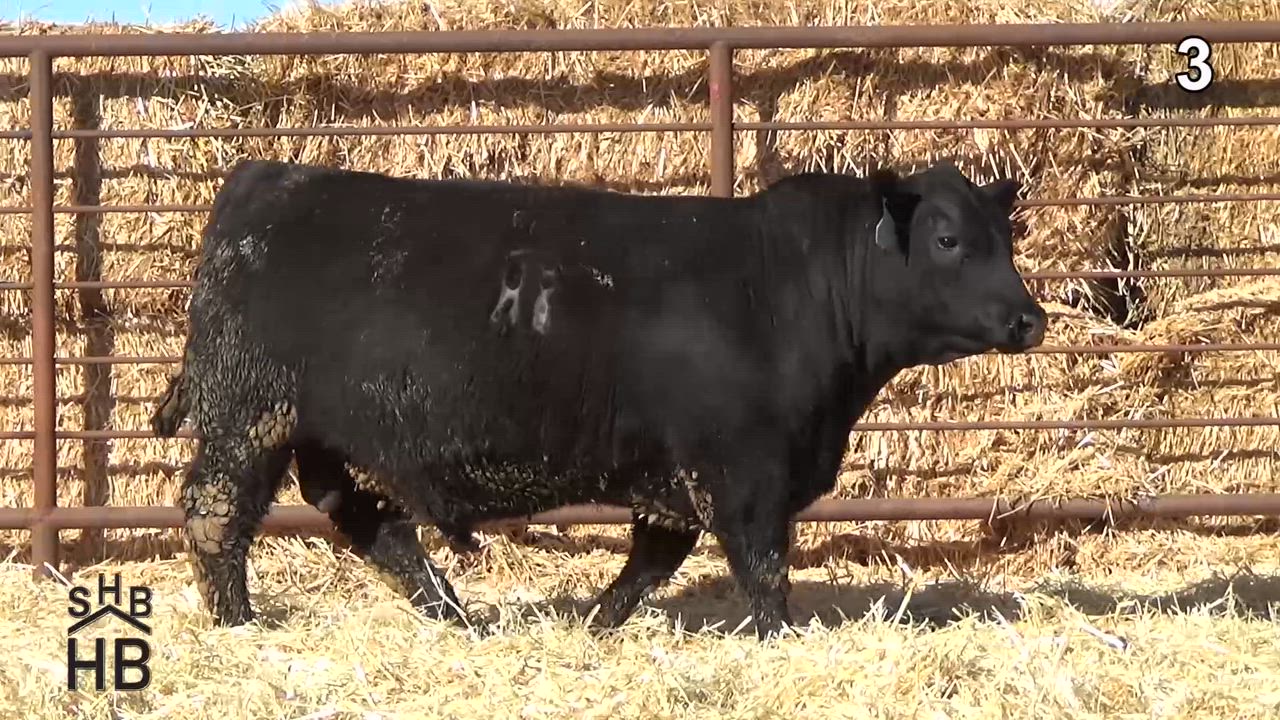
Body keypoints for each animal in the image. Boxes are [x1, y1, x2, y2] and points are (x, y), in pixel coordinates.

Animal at [153, 157, 1046, 640]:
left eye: (1007, 237)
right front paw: (780, 639)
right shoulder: (744, 472)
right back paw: (236, 619)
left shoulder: (674, 477)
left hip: (325, 437)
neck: (788, 286)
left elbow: (650, 561)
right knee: (215, 512)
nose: (1030, 318)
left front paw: (595, 623)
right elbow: (763, 572)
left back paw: (451, 612)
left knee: (367, 521)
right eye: (947, 238)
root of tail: (269, 178)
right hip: (248, 419)